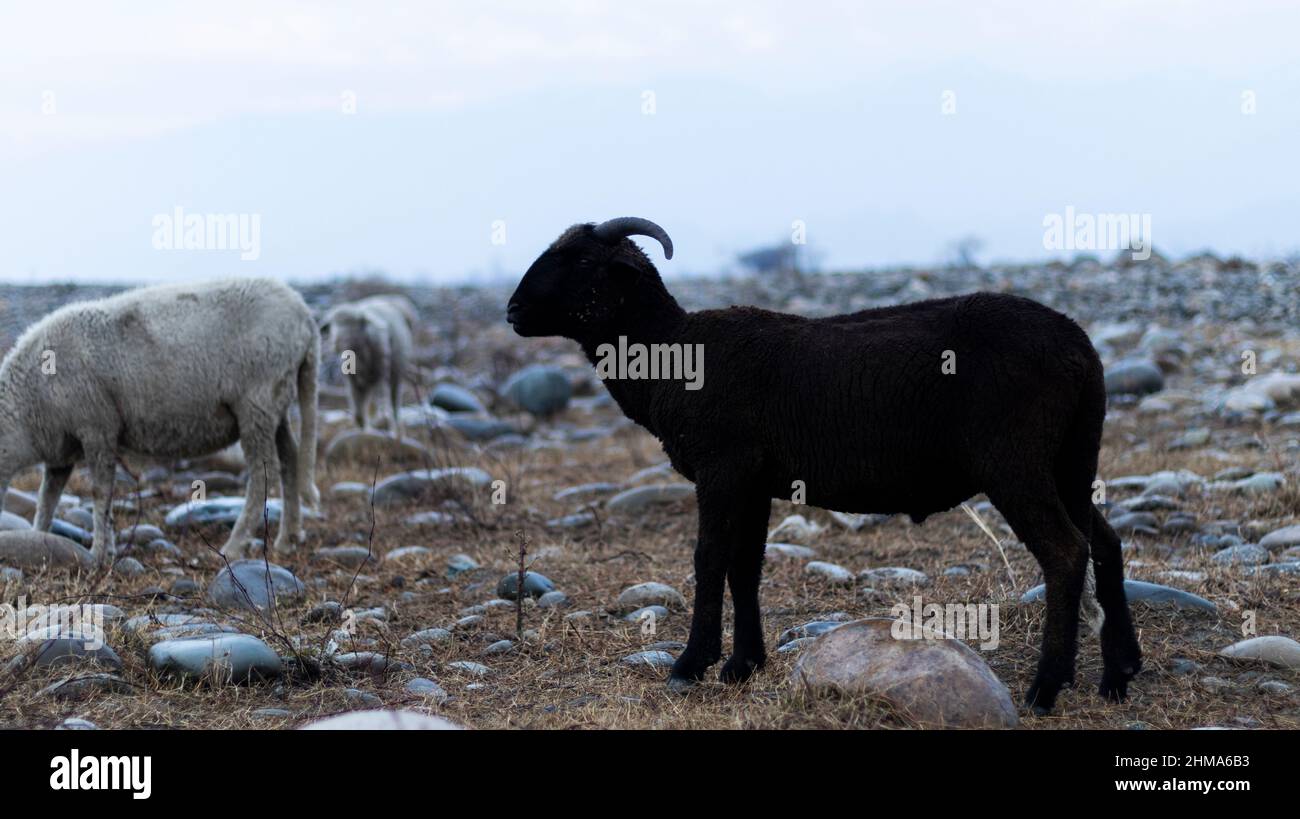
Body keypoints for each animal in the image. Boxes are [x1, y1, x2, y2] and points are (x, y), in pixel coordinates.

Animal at [0, 277, 321, 564]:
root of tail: (305, 317)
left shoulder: (97, 428)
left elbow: (100, 493)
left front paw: (100, 553)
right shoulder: (60, 450)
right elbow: (47, 499)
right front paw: (36, 538)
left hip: (258, 398)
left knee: (262, 474)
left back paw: (235, 545)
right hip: (276, 401)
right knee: (290, 458)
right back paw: (288, 538)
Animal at [320, 295, 415, 439]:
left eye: (351, 324)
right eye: (332, 326)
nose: (335, 343)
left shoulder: (380, 372)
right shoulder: (353, 381)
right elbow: (358, 412)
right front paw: (363, 432)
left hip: (394, 370)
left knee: (393, 401)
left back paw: (396, 432)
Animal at [507, 217, 1142, 714]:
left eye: (581, 259)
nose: (512, 310)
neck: (670, 349)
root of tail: (1081, 347)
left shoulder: (723, 469)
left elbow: (709, 559)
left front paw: (691, 665)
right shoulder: (755, 481)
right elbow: (746, 566)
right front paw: (743, 665)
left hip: (1015, 462)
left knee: (1066, 552)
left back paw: (1044, 690)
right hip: (1071, 459)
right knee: (1105, 541)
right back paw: (1118, 674)